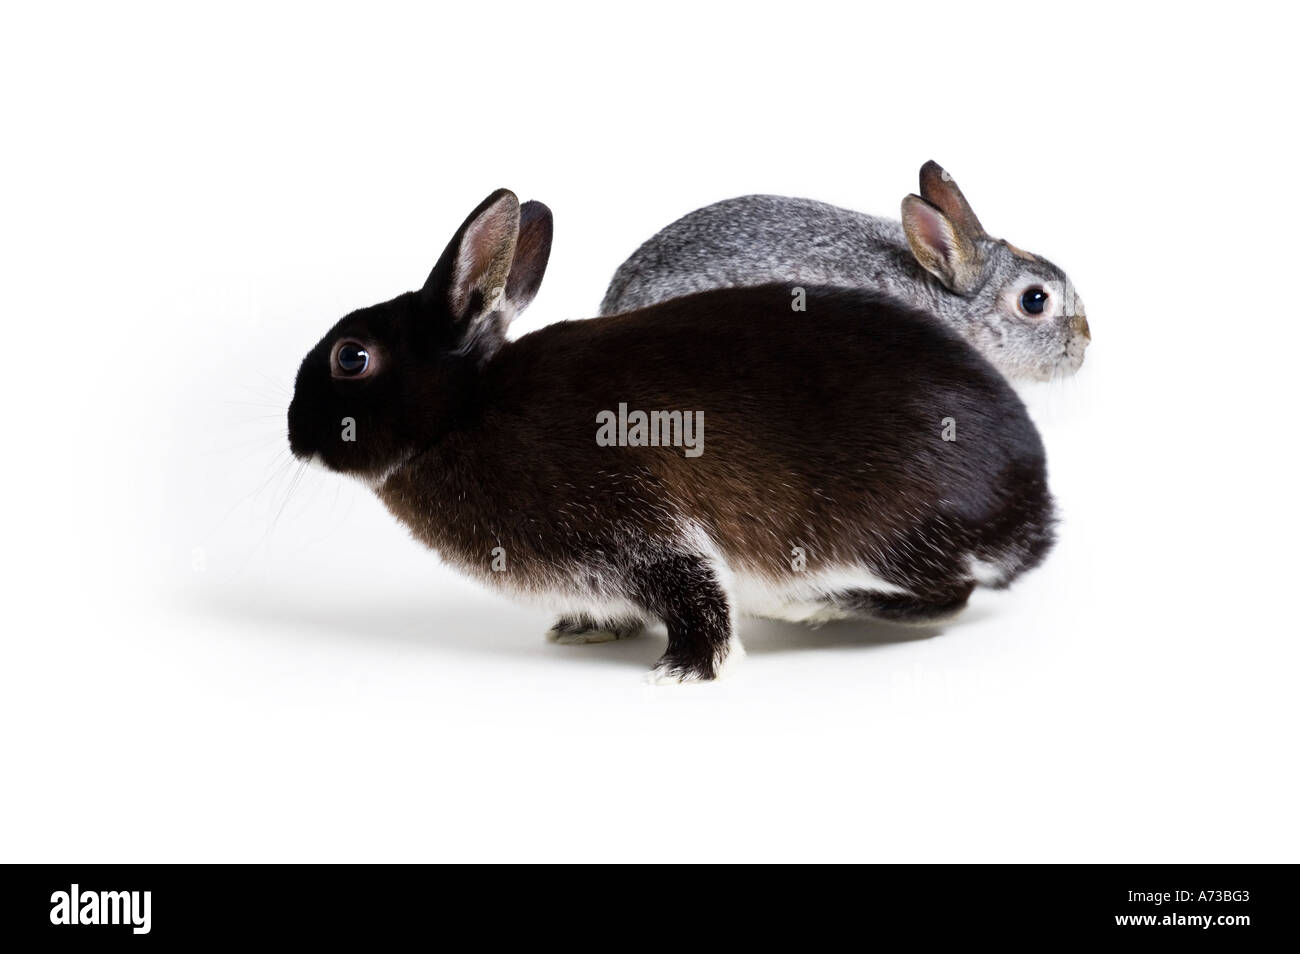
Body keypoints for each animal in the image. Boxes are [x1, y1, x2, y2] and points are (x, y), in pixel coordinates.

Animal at [287, 189, 1056, 683]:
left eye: (351, 358)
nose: (295, 433)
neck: (467, 411)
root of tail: (1033, 508)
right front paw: (586, 628)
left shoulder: (638, 524)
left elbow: (693, 589)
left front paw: (685, 671)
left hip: (895, 528)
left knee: (950, 592)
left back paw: (812, 605)